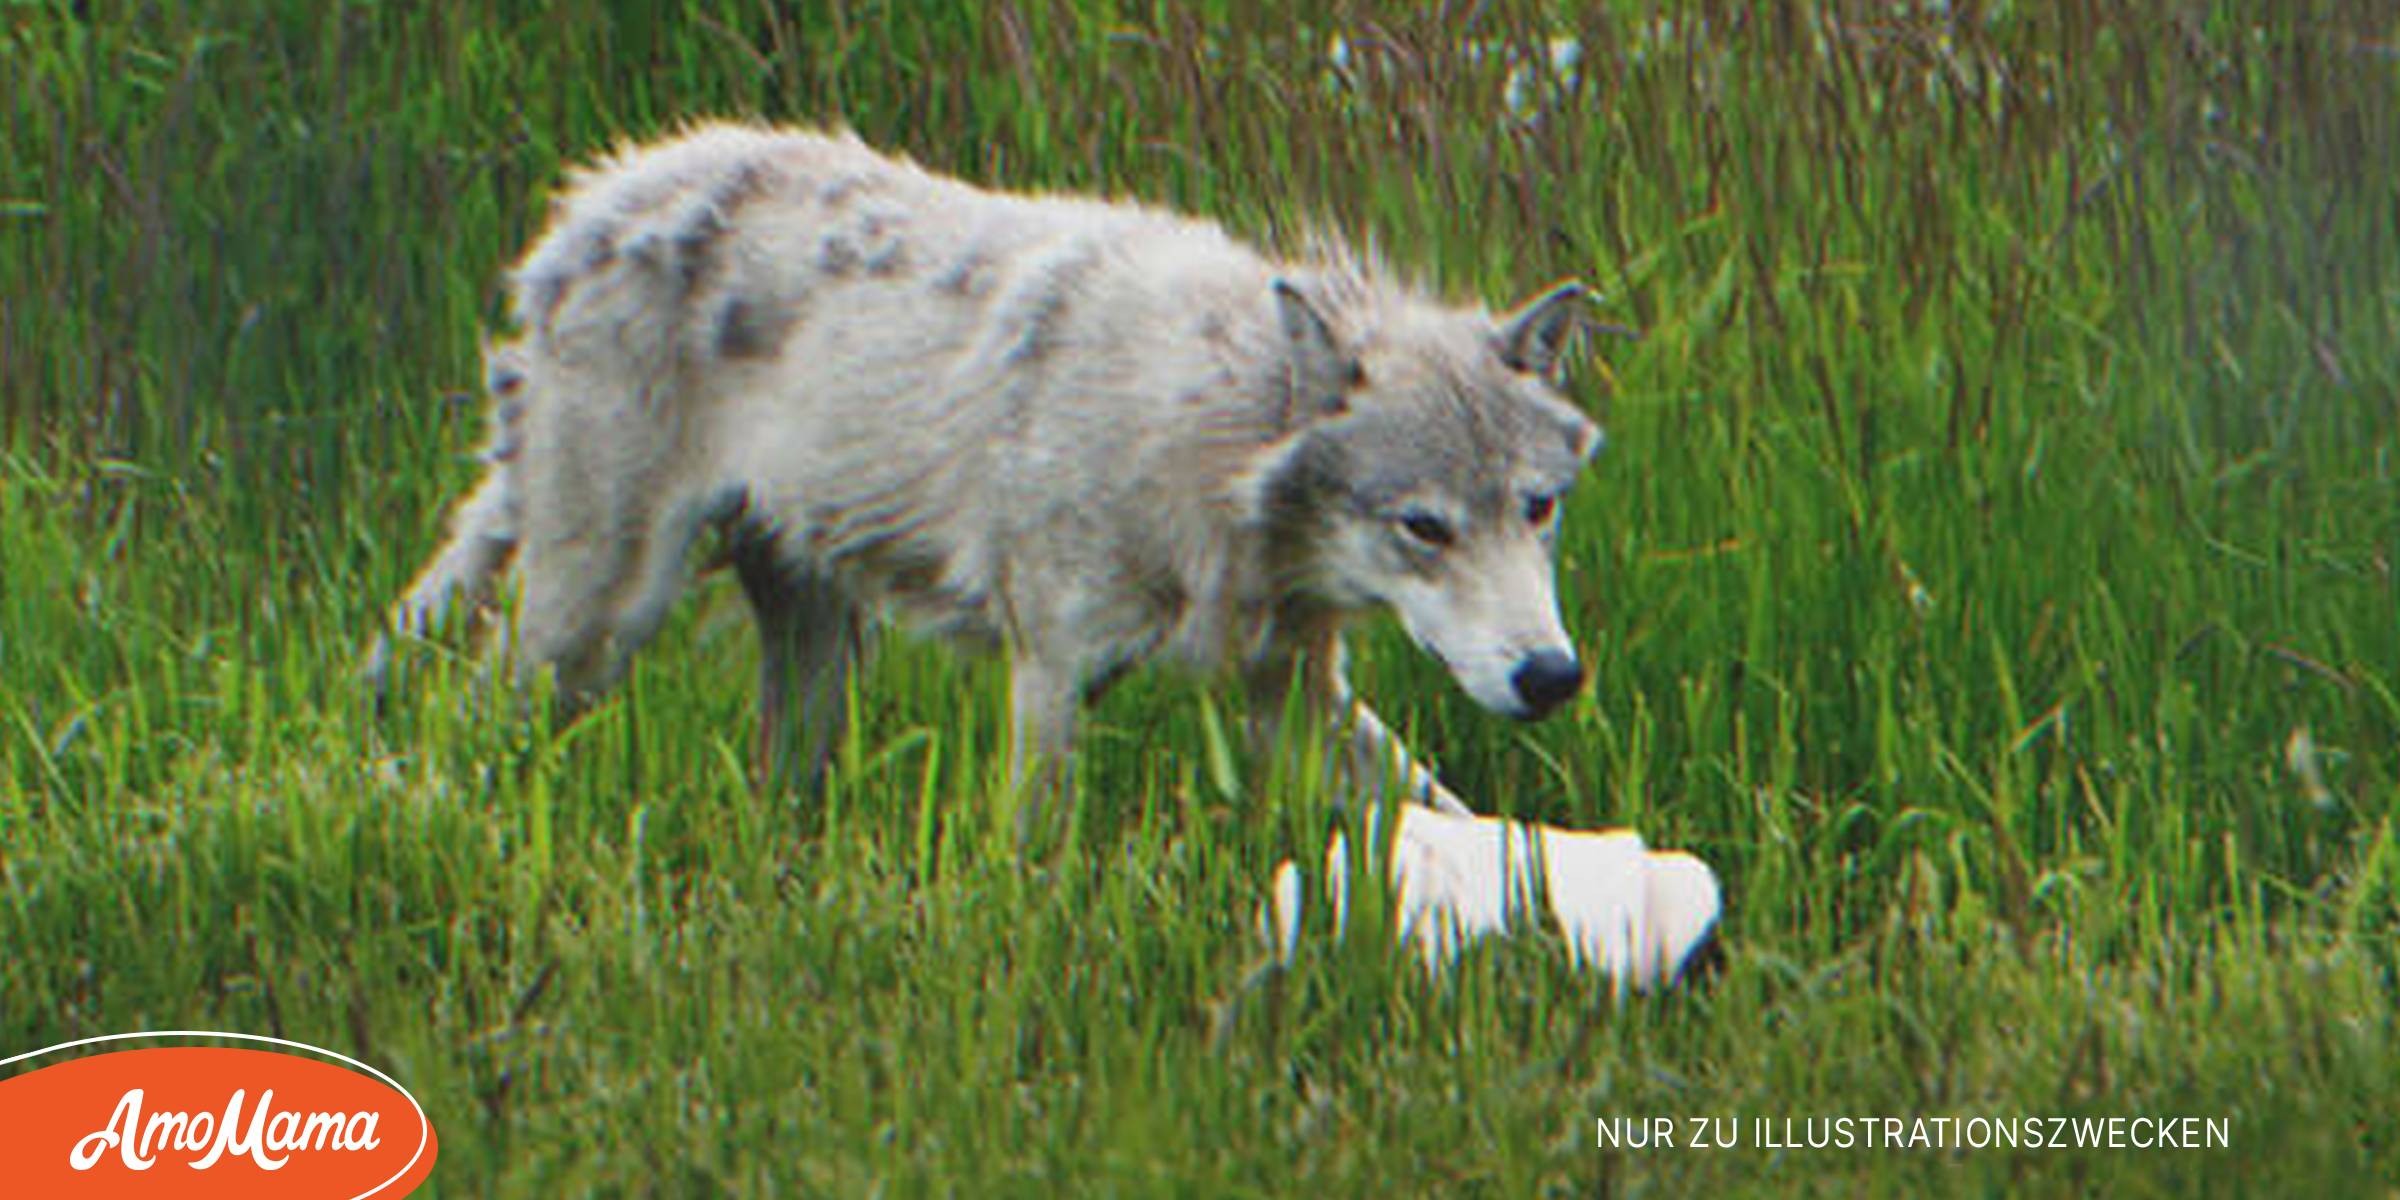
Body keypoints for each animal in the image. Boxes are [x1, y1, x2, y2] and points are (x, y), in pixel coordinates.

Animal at [368, 121, 1604, 836]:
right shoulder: (1051, 671)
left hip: (813, 653)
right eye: (1424, 527)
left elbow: (1452, 810)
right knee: (471, 724)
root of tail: (587, 205)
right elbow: (1037, 863)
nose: (1551, 677)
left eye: (1536, 510)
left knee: (776, 796)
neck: (1207, 435)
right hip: (595, 629)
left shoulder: (1297, 688)